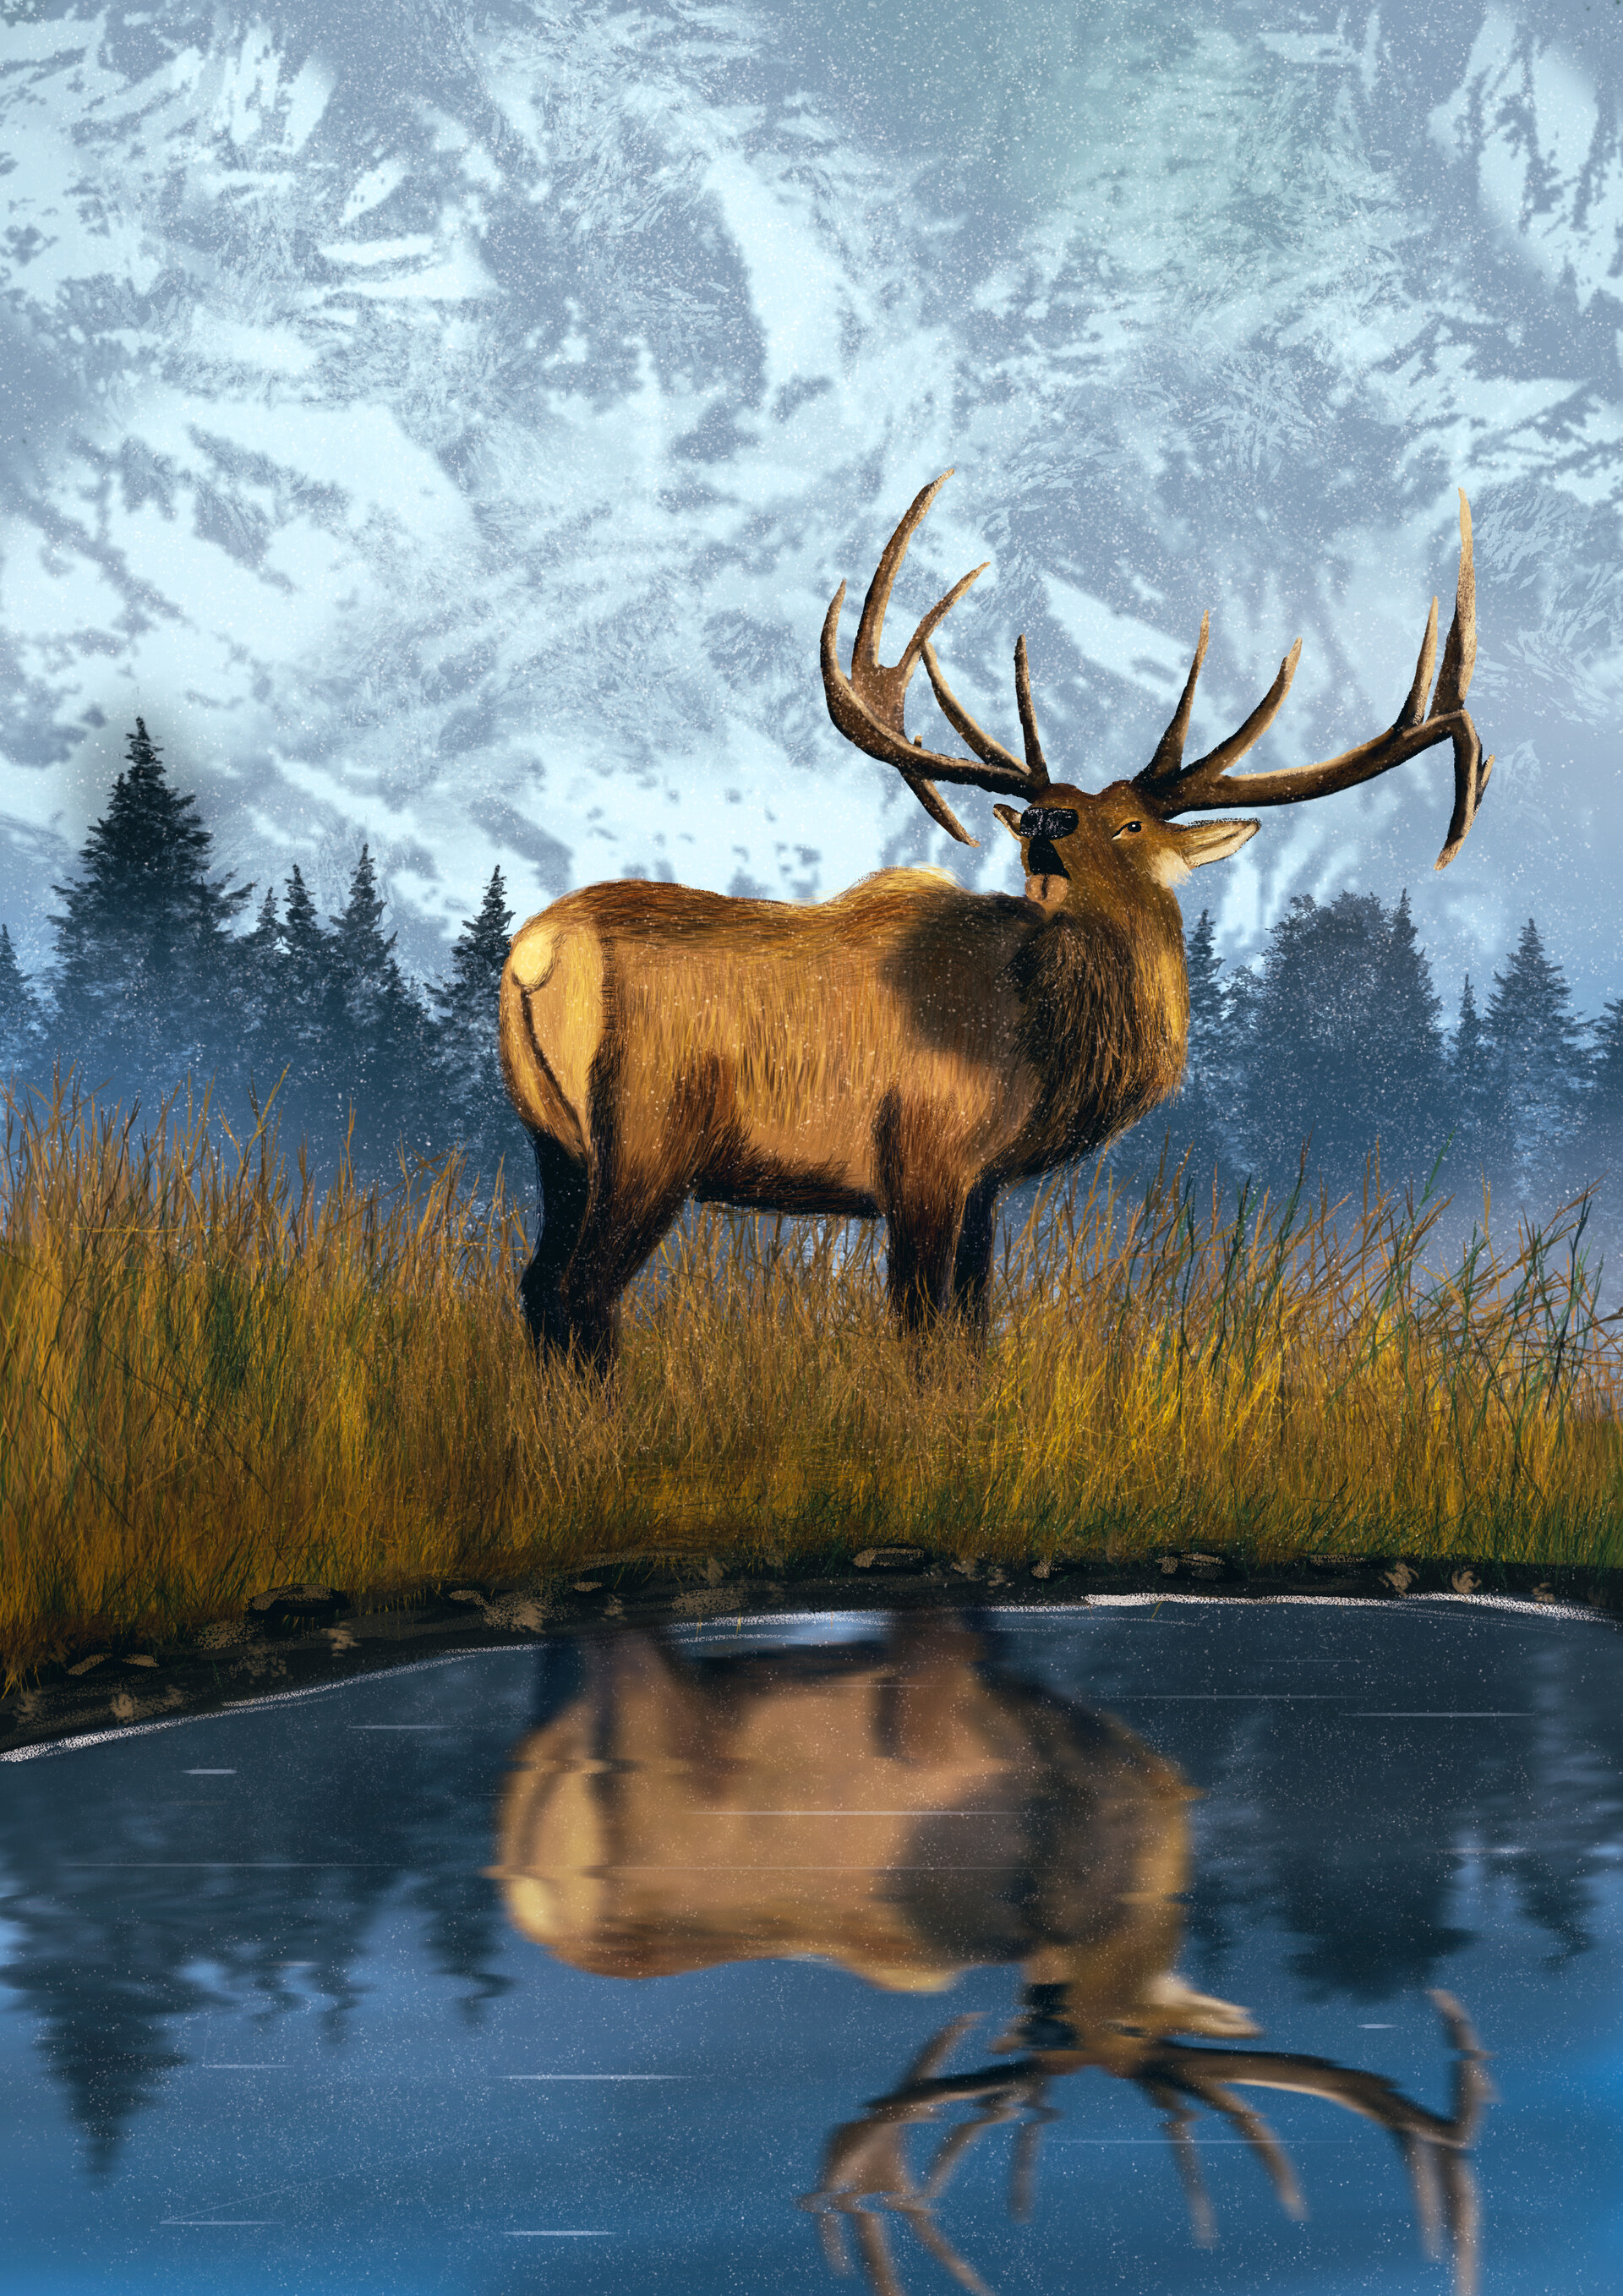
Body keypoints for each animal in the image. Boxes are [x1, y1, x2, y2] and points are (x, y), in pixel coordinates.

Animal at [499, 473, 1489, 1366]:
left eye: (1129, 823)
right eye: (1068, 811)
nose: (1045, 822)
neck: (1044, 1052)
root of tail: (536, 956)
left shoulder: (983, 1184)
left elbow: (976, 1328)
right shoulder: (922, 1154)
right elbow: (919, 1328)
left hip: (555, 1142)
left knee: (537, 1285)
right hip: (647, 1133)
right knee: (583, 1292)